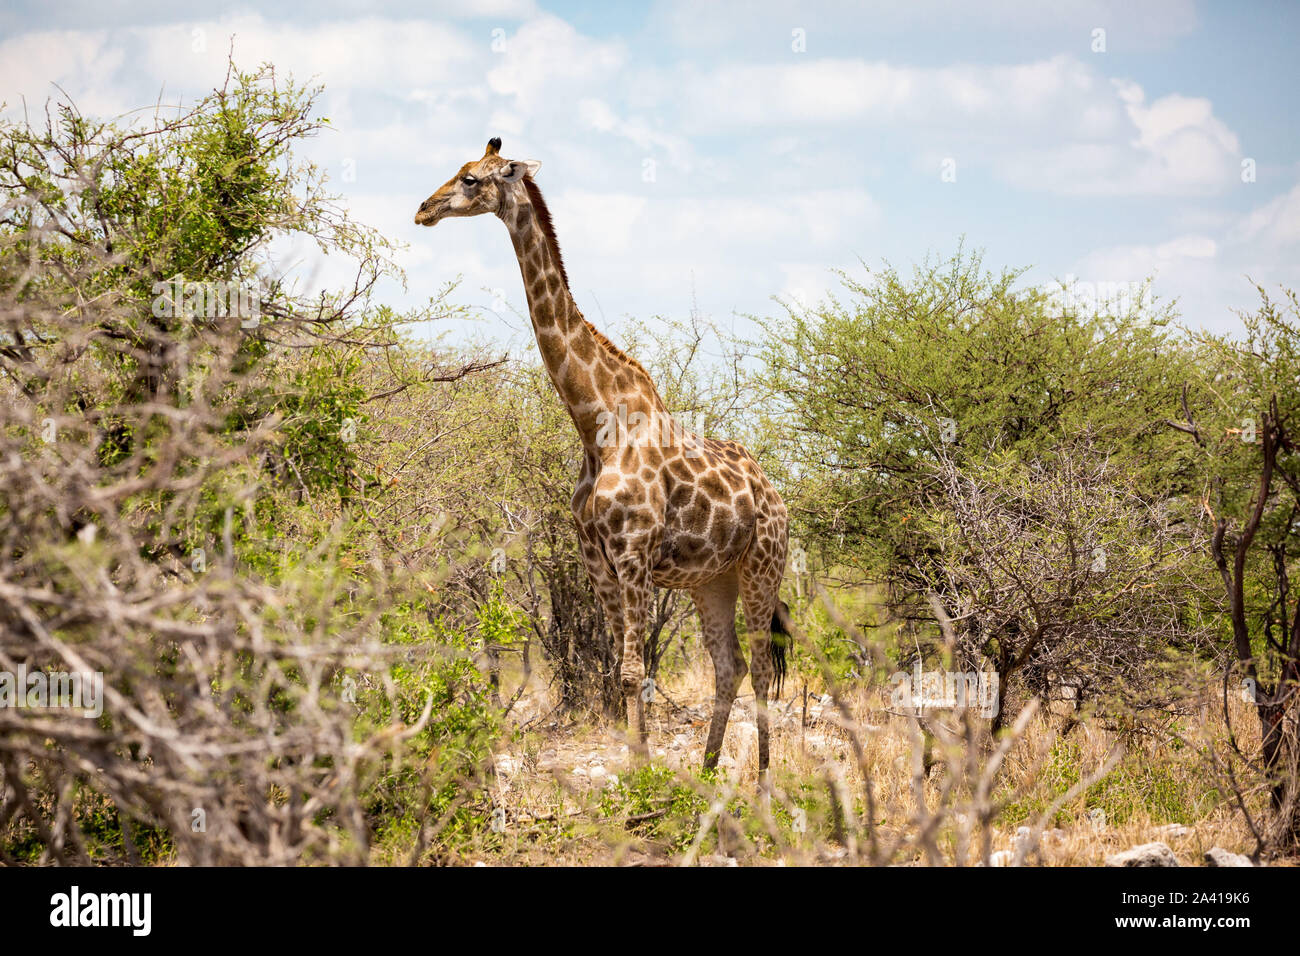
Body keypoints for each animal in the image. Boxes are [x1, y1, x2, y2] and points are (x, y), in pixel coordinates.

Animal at [415, 138, 791, 776]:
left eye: (470, 179)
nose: (423, 208)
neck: (596, 423)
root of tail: (778, 497)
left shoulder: (634, 552)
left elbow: (636, 672)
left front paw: (643, 779)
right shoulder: (598, 559)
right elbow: (620, 671)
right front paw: (640, 773)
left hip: (763, 565)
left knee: (763, 667)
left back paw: (762, 780)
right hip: (712, 580)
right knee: (731, 665)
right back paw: (707, 771)